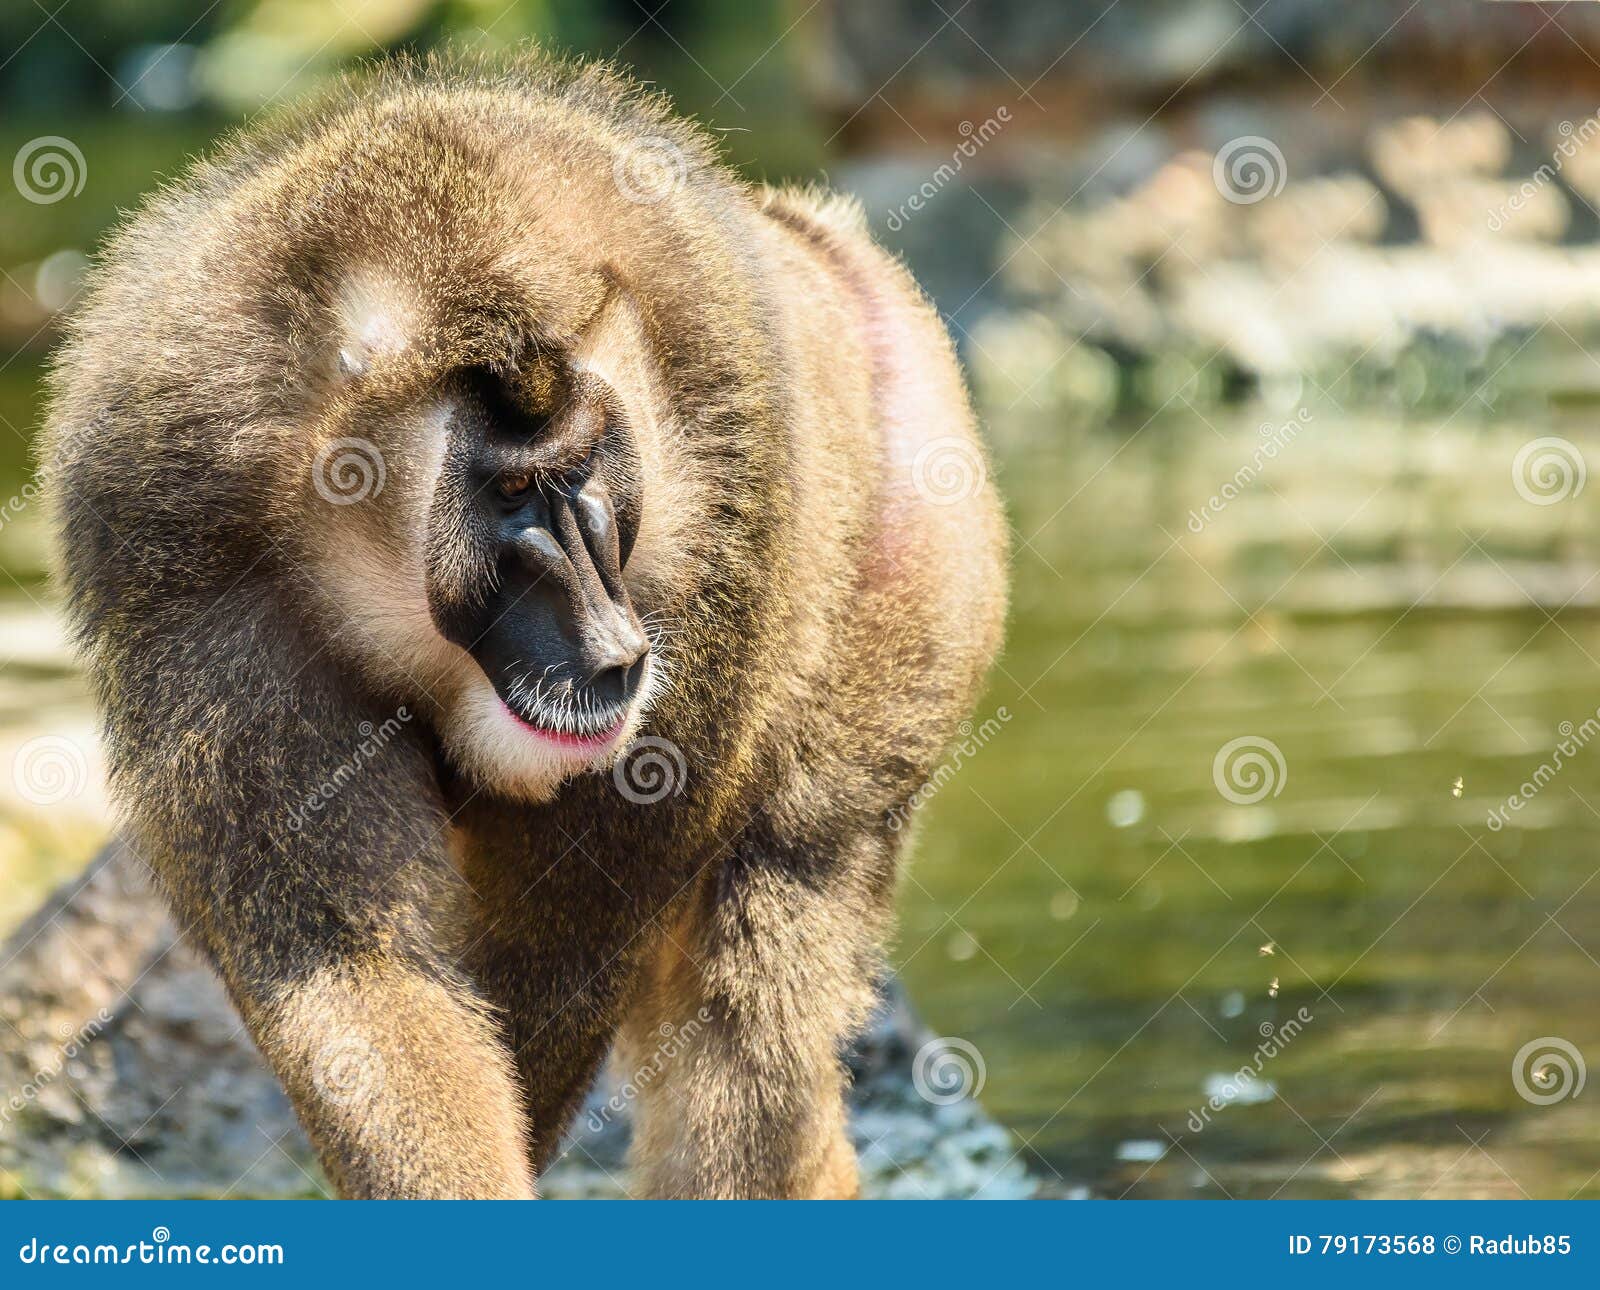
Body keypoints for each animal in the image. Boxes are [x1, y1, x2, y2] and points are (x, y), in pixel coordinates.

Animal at [40, 50, 1007, 1199]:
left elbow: (567, 957)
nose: (616, 653)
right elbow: (357, 969)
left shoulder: (726, 483)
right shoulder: (182, 556)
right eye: (508, 494)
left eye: (581, 472)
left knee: (752, 1018)